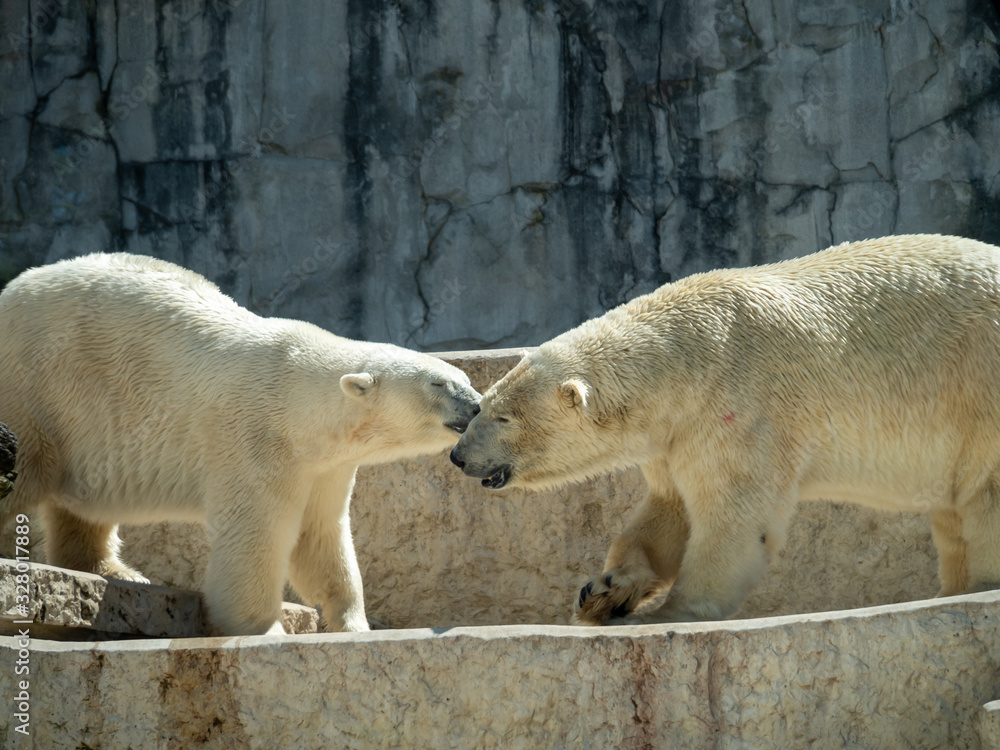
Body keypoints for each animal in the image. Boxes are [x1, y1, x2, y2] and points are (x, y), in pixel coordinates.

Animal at [0, 253, 481, 635]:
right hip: (36, 391)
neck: (300, 399)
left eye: (466, 379)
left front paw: (352, 623)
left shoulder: (324, 466)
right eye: (439, 383)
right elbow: (257, 534)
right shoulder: (256, 437)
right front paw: (264, 629)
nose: (476, 406)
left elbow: (320, 535)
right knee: (27, 465)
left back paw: (118, 571)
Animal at [450, 234, 1000, 625]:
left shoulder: (738, 407)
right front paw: (605, 591)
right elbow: (667, 509)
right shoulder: (673, 435)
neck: (689, 360)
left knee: (983, 493)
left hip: (978, 392)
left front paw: (668, 613)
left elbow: (733, 512)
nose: (458, 456)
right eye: (482, 404)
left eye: (502, 417)